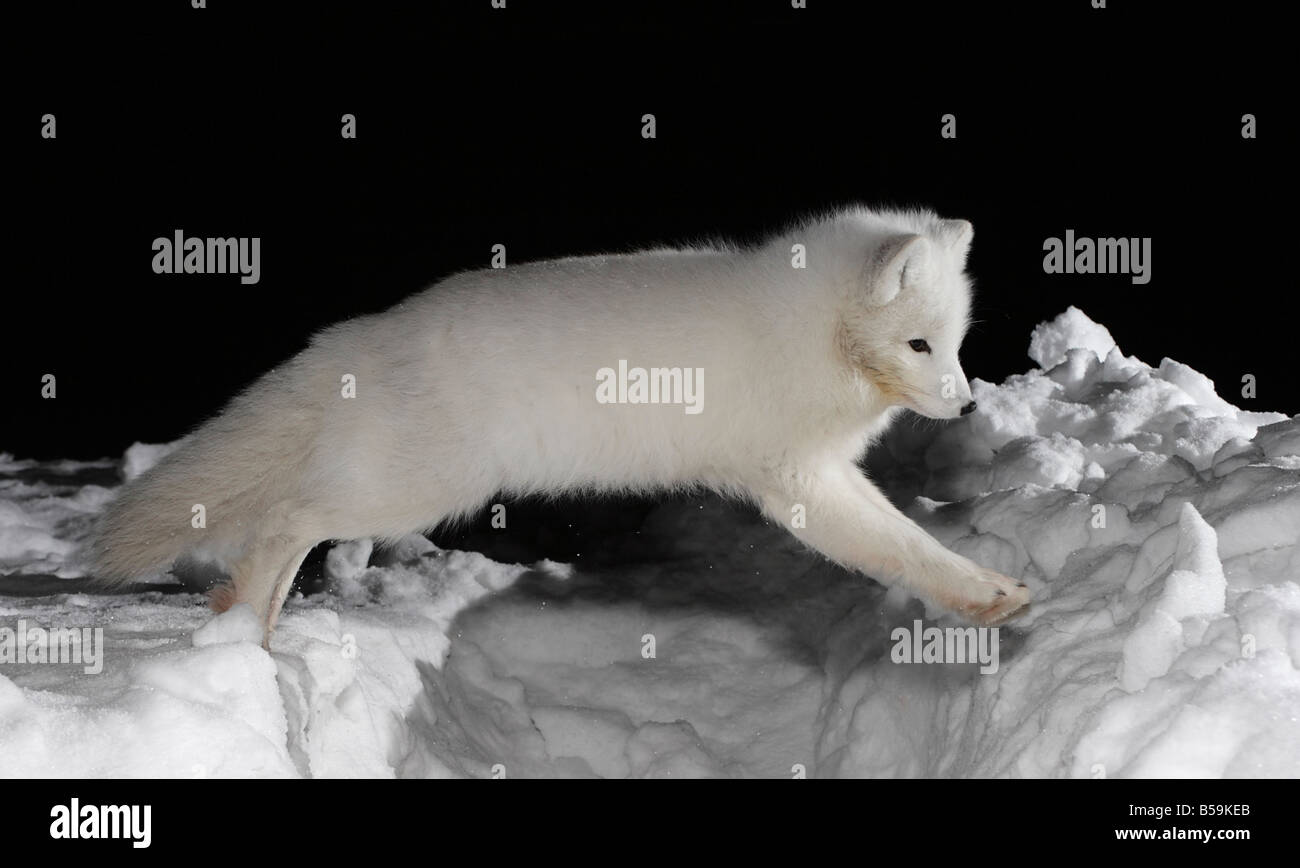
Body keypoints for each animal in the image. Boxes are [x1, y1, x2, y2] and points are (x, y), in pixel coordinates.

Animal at [90, 206, 1030, 647]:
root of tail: (366, 332)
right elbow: (898, 547)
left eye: (955, 342)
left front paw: (988, 590)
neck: (804, 333)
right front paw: (984, 596)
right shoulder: (797, 481)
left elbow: (903, 540)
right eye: (918, 344)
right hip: (417, 491)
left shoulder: (816, 470)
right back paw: (249, 618)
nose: (965, 404)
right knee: (287, 520)